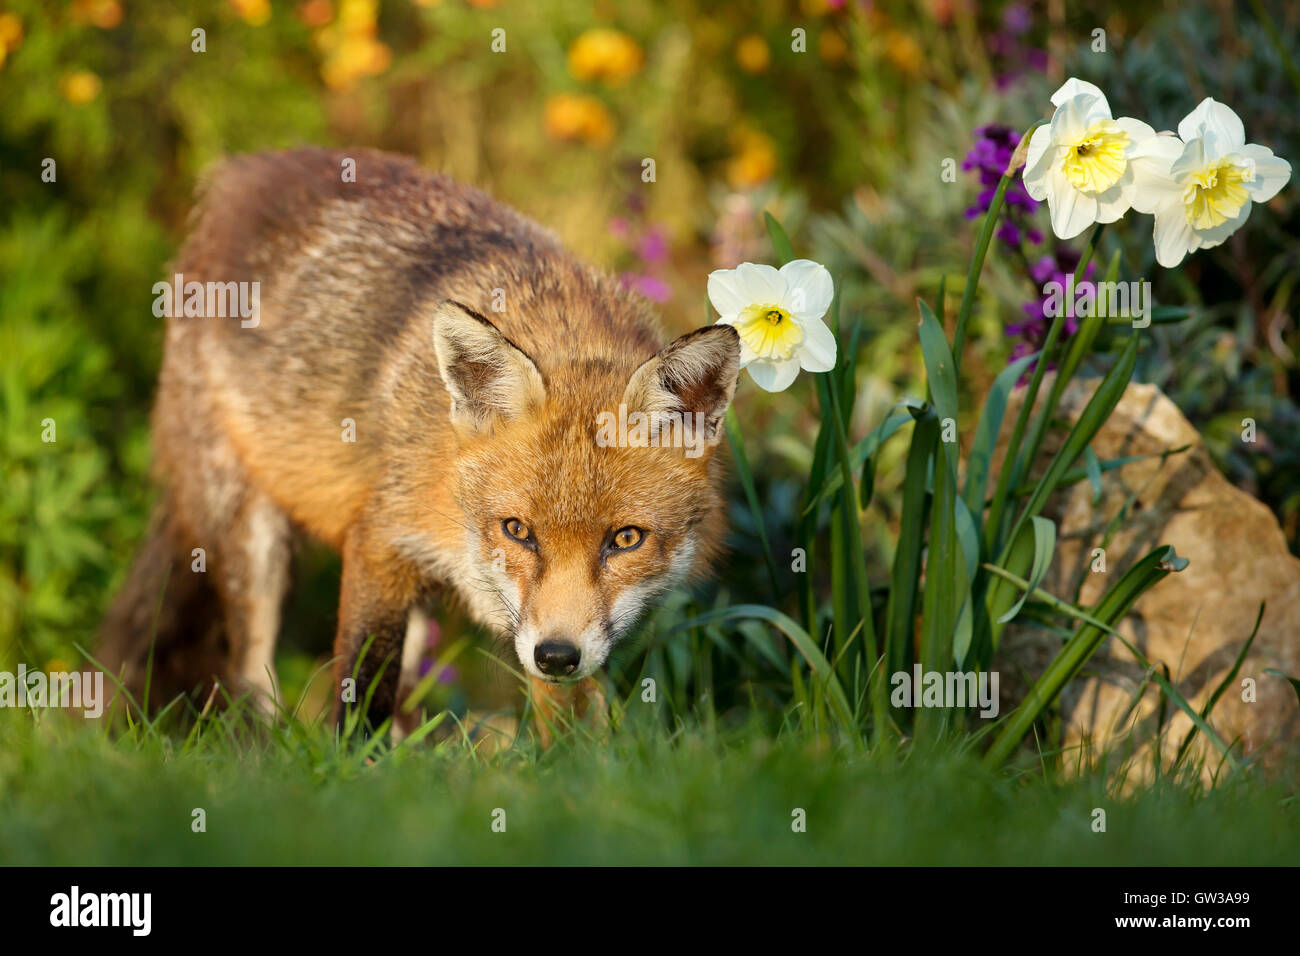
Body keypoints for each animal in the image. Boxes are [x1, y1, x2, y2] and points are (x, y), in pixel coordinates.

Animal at [98, 147, 741, 738]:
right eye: (517, 531)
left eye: (626, 539)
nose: (556, 655)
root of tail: (236, 174)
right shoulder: (381, 539)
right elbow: (362, 684)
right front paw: (350, 765)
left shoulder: (534, 627)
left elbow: (570, 723)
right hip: (249, 541)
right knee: (248, 683)